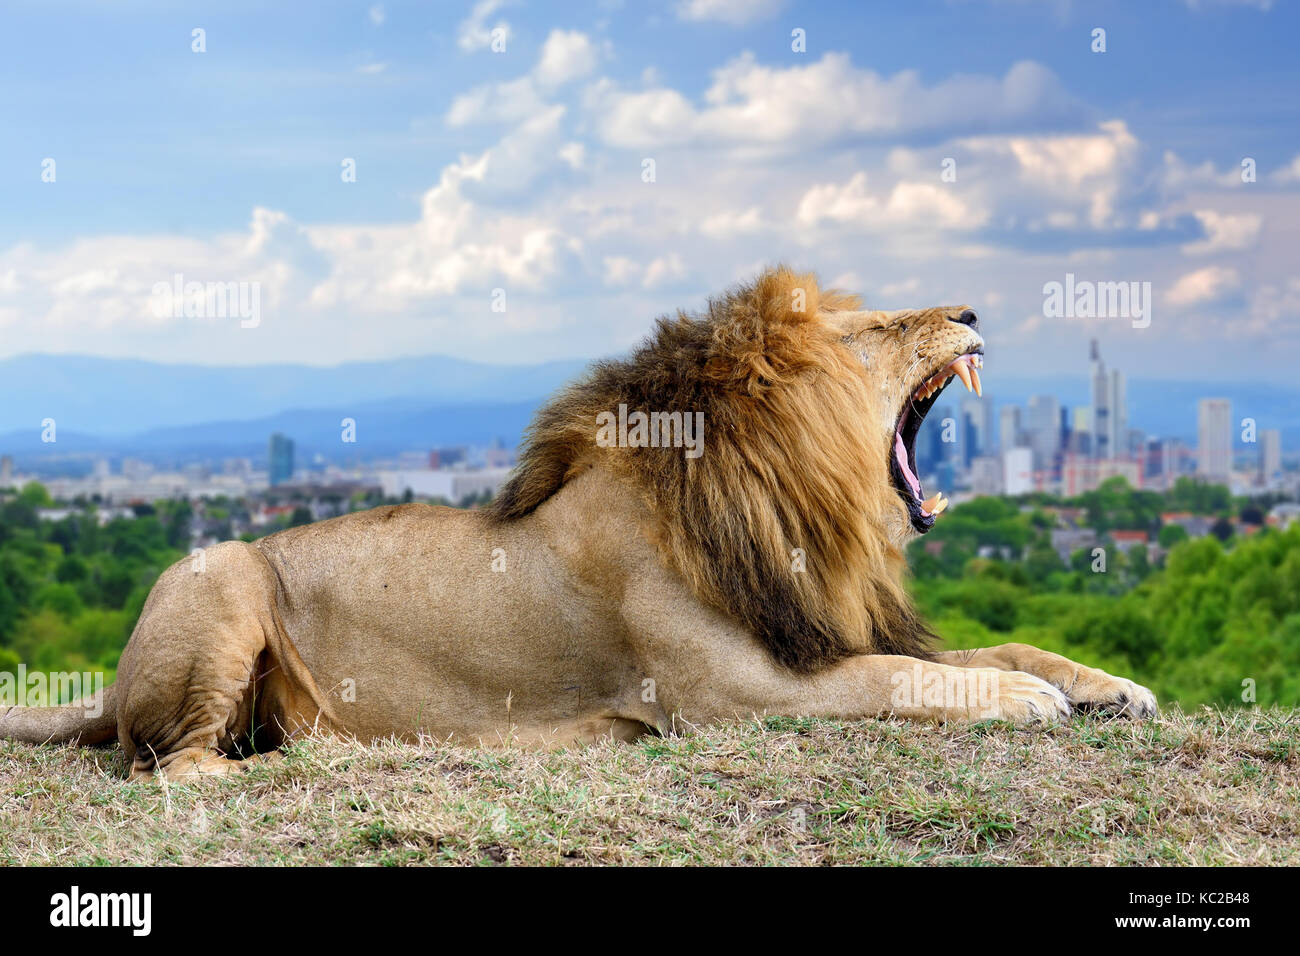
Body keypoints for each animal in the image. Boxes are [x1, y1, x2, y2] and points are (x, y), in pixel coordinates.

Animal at [1, 267, 1155, 780]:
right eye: (877, 327)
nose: (968, 309)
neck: (791, 504)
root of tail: (111, 682)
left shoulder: (816, 632)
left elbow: (1002, 643)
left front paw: (1105, 684)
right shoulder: (737, 695)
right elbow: (907, 676)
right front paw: (1022, 700)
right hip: (221, 569)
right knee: (173, 764)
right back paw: (295, 759)